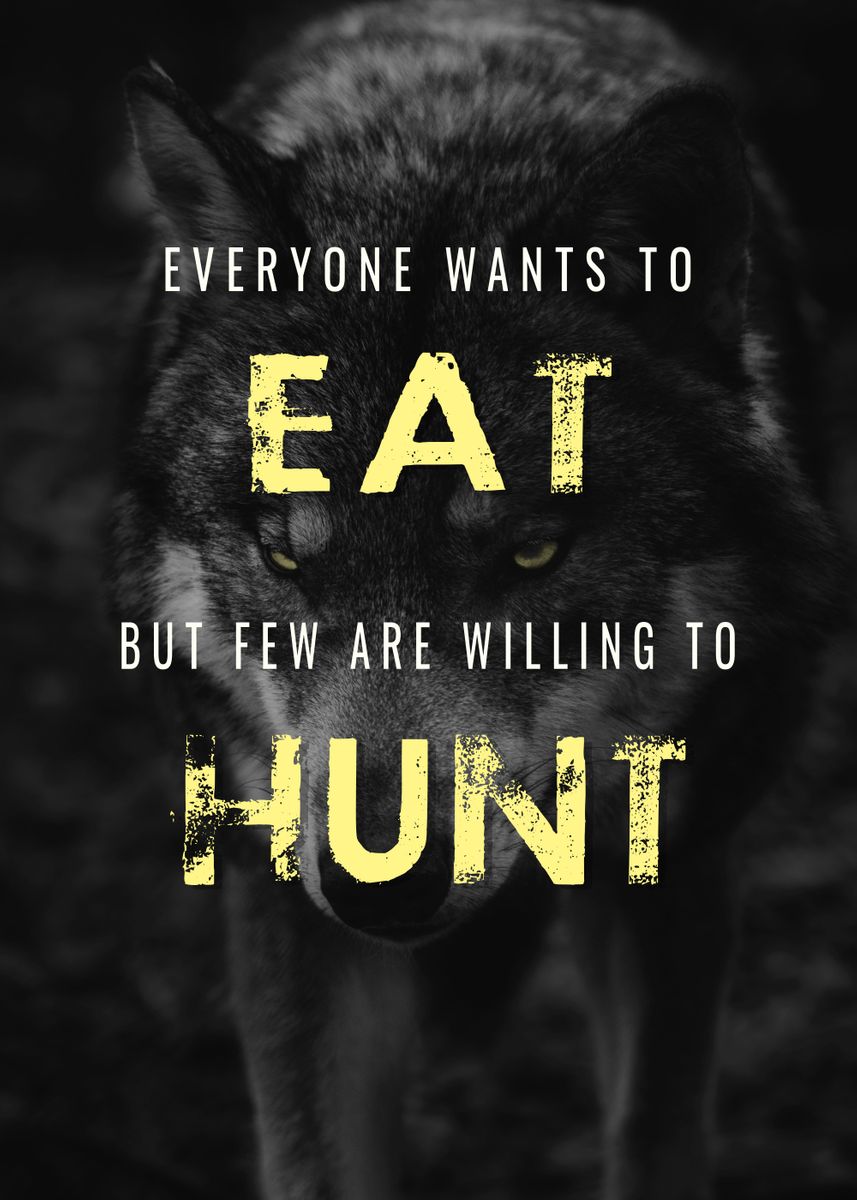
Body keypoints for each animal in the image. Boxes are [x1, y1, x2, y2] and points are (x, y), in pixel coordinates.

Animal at [116, 1, 837, 1196]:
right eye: (284, 558)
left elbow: (654, 1131)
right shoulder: (285, 897)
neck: (445, 154)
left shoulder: (676, 860)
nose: (380, 885)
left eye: (532, 555)